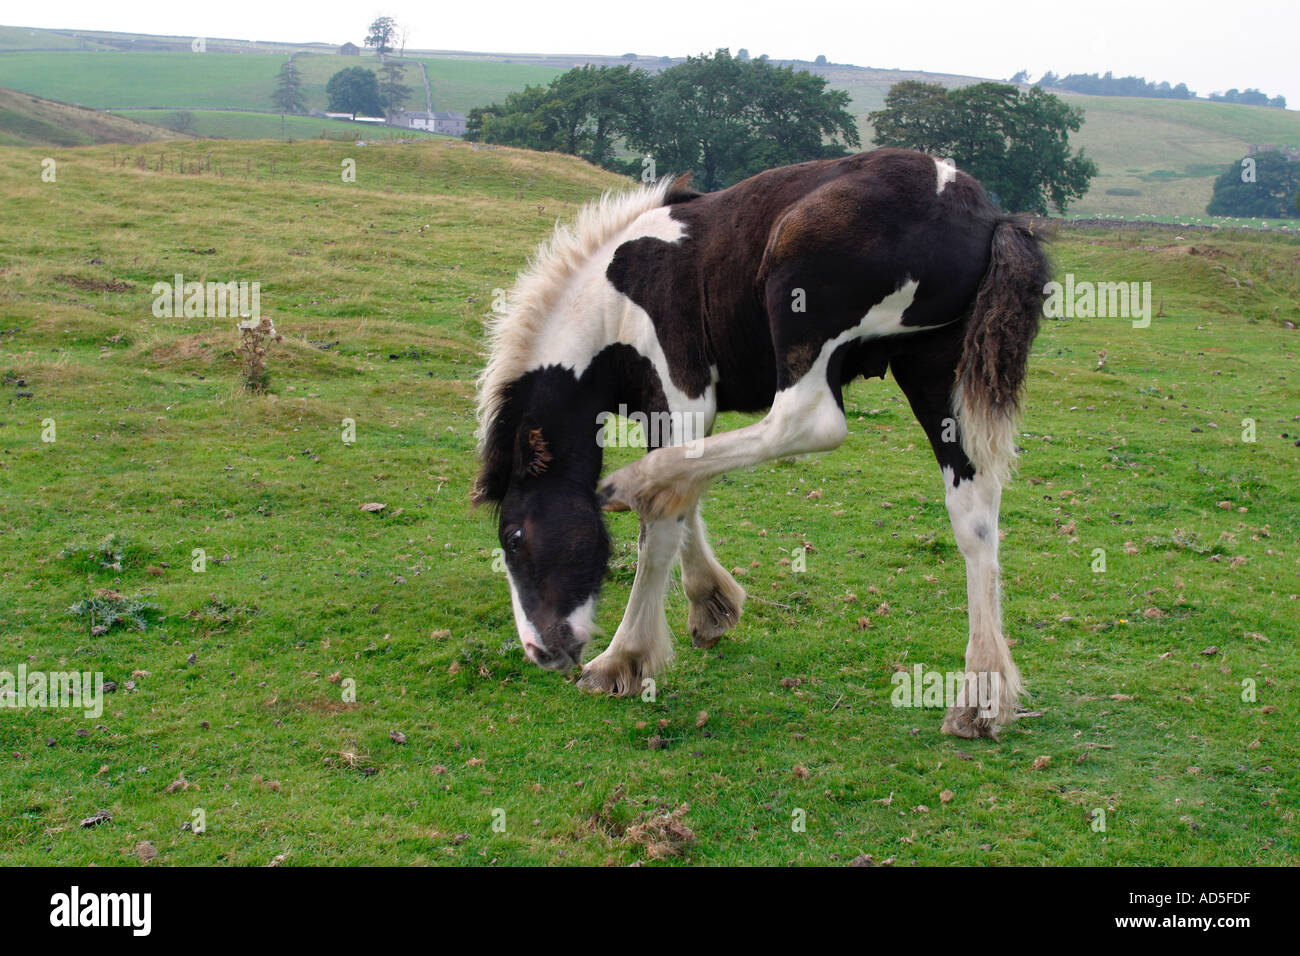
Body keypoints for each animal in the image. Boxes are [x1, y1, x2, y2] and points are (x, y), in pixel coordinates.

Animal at [473, 147, 1048, 738]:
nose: (541, 652)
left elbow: (663, 524)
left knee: (807, 421)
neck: (615, 300)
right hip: (935, 373)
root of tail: (984, 213)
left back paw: (633, 485)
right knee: (974, 514)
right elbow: (686, 502)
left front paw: (622, 660)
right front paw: (711, 607)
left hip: (804, 312)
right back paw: (981, 698)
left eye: (513, 537)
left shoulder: (682, 394)